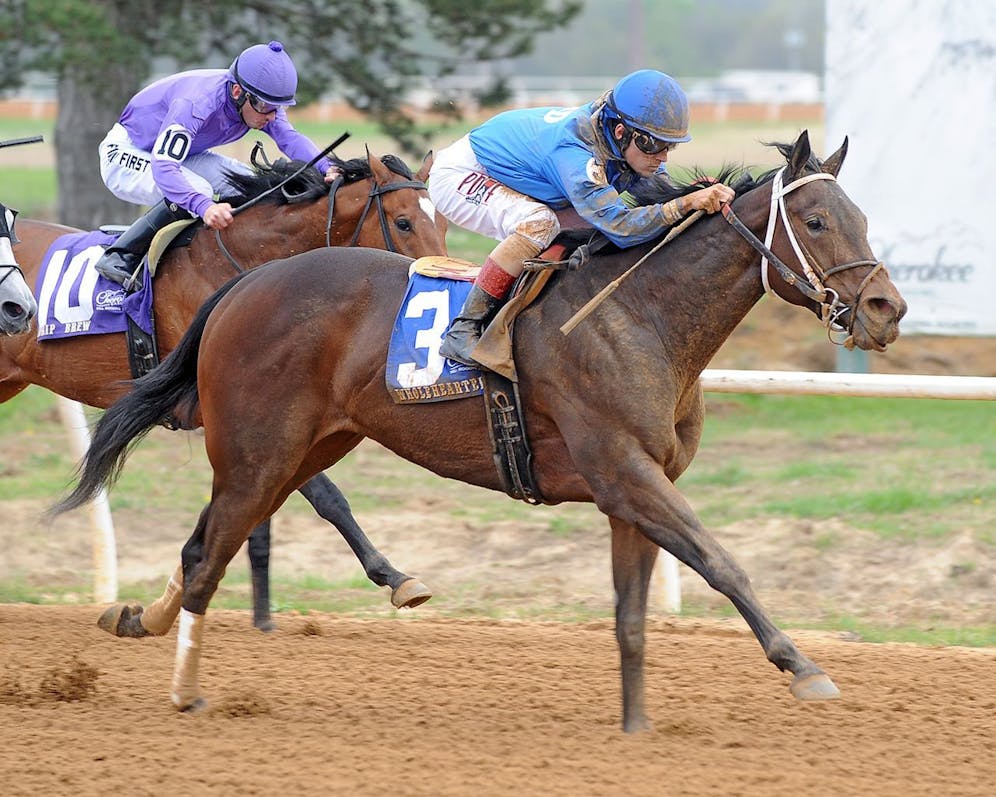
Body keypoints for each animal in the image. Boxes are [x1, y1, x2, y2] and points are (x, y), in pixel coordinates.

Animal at [7, 151, 446, 627]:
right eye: (403, 222)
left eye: (443, 222)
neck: (250, 262)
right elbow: (324, 497)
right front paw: (394, 577)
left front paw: (261, 615)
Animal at [56, 131, 907, 729]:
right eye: (817, 220)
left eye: (863, 217)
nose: (885, 309)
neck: (642, 315)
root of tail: (241, 285)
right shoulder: (626, 472)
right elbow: (723, 564)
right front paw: (803, 666)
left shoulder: (630, 487)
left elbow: (632, 616)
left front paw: (636, 725)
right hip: (257, 452)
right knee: (210, 555)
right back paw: (184, 692)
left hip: (302, 448)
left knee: (204, 544)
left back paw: (135, 618)